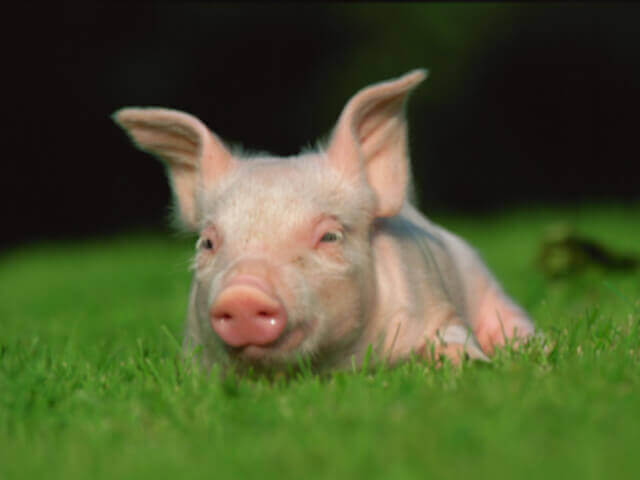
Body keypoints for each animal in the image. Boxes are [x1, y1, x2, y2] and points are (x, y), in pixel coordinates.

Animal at [113, 69, 535, 373]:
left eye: (329, 237)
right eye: (207, 242)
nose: (243, 293)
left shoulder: (435, 303)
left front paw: (468, 363)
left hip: (483, 281)